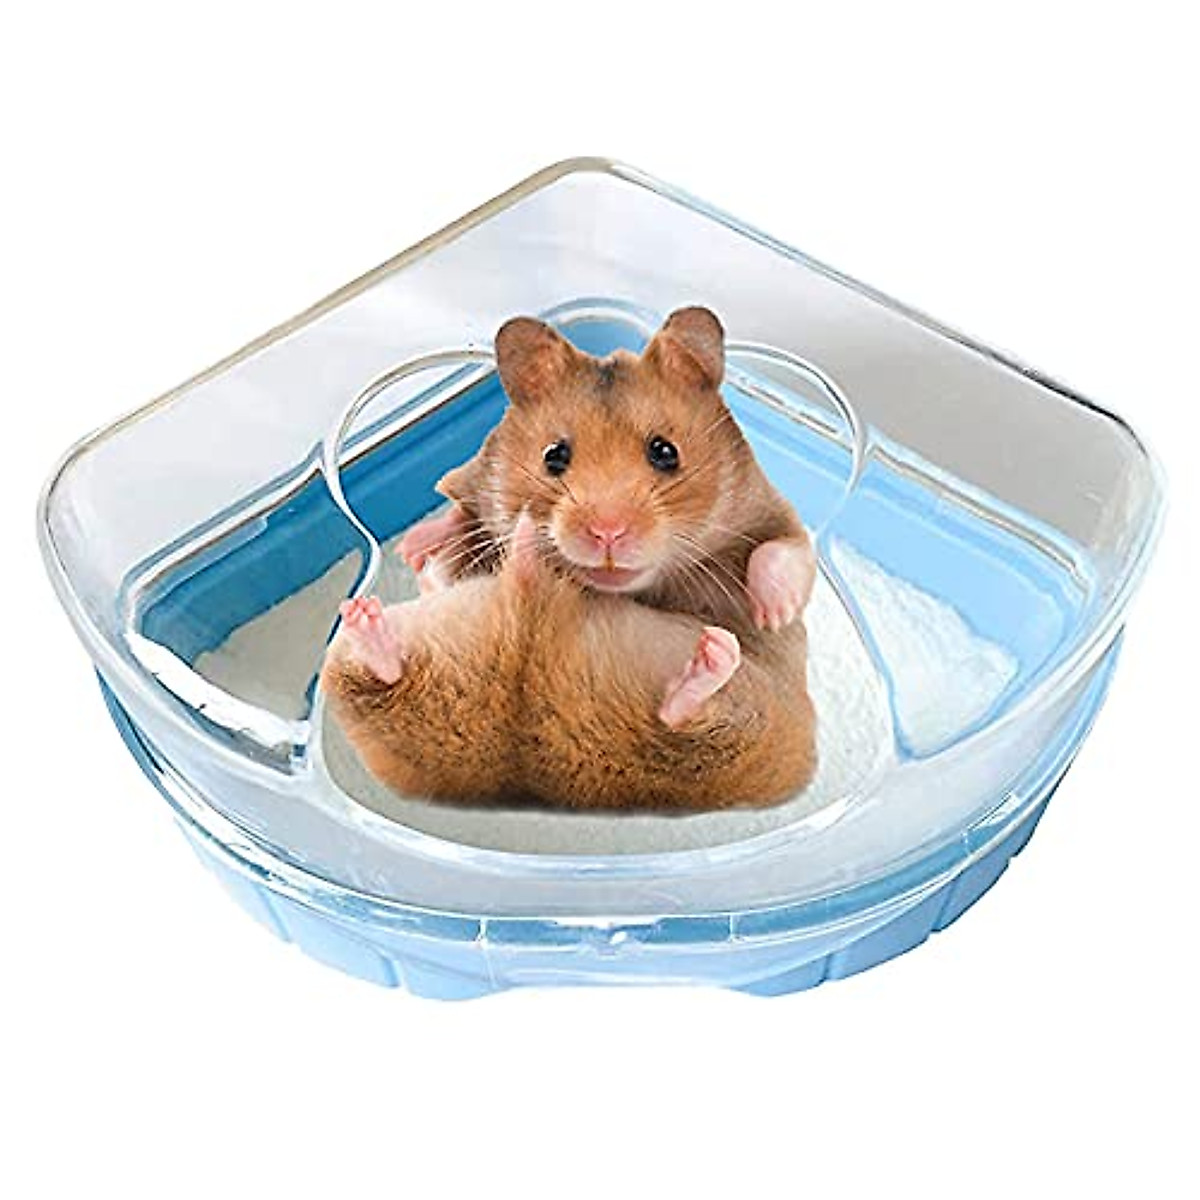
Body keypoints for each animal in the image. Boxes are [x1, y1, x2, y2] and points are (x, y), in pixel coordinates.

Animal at [398, 307, 816, 645]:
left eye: (666, 452)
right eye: (554, 456)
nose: (608, 533)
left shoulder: (769, 509)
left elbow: (780, 550)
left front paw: (773, 615)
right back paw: (413, 548)